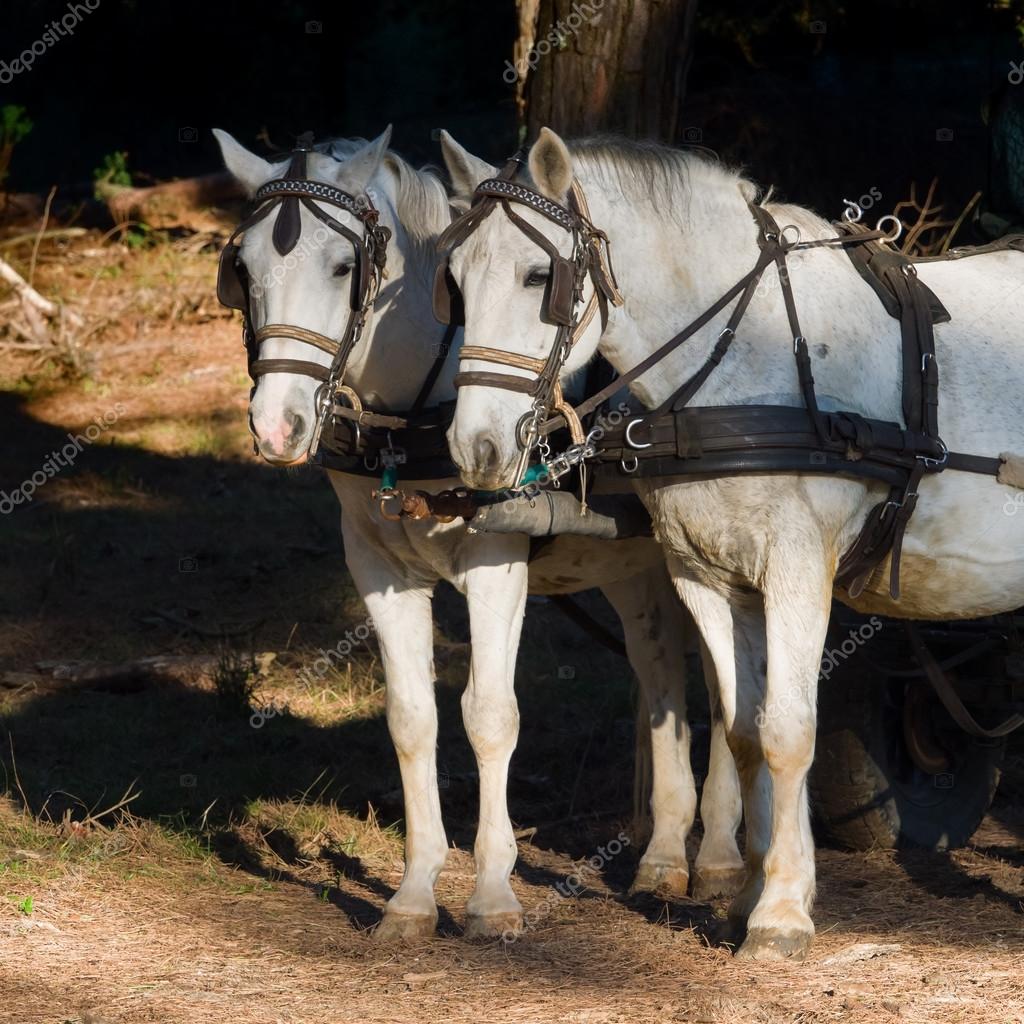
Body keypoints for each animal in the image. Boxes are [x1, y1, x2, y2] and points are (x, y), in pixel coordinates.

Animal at [213, 127, 746, 940]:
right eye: (242, 269)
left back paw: (717, 855)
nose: (278, 425)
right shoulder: (378, 567)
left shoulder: (497, 562)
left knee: (724, 681)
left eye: (343, 268)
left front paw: (492, 895)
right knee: (660, 668)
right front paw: (412, 895)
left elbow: (489, 716)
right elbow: (412, 717)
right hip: (633, 561)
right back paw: (662, 856)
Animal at [438, 127, 1024, 959]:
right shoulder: (706, 576)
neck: (753, 355)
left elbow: (786, 731)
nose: (475, 447)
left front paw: (779, 915)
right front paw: (749, 892)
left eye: (538, 276)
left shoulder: (797, 570)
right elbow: (744, 733)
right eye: (455, 280)